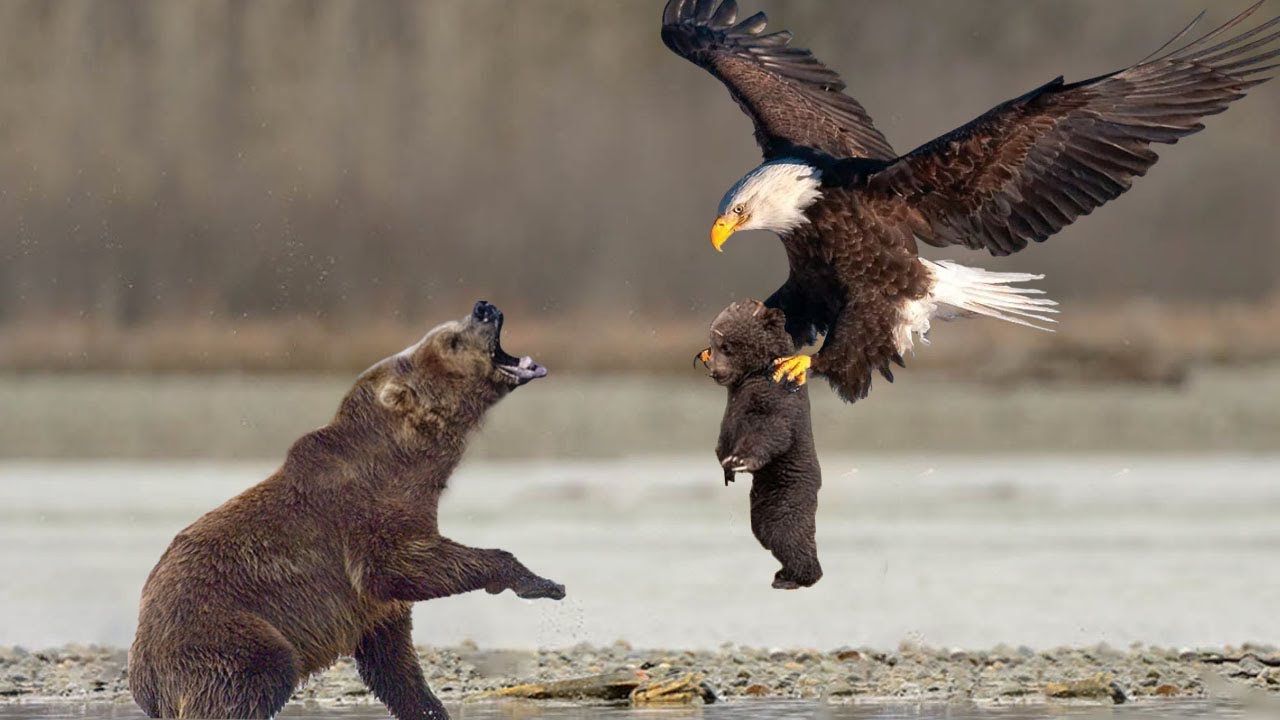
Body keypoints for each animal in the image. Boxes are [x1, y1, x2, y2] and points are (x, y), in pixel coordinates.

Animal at [128, 301, 564, 720]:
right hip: (223, 631)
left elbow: (392, 660)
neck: (412, 459)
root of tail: (144, 674)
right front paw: (540, 582)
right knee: (248, 678)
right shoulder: (364, 513)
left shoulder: (373, 604)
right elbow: (398, 567)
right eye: (451, 340)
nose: (483, 307)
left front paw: (428, 707)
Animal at [699, 299, 823, 589]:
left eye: (726, 346)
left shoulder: (772, 398)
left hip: (787, 490)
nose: (715, 372)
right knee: (765, 529)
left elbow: (770, 431)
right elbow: (726, 435)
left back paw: (798, 577)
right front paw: (726, 467)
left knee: (784, 531)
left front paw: (738, 461)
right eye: (712, 345)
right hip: (765, 494)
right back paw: (784, 574)